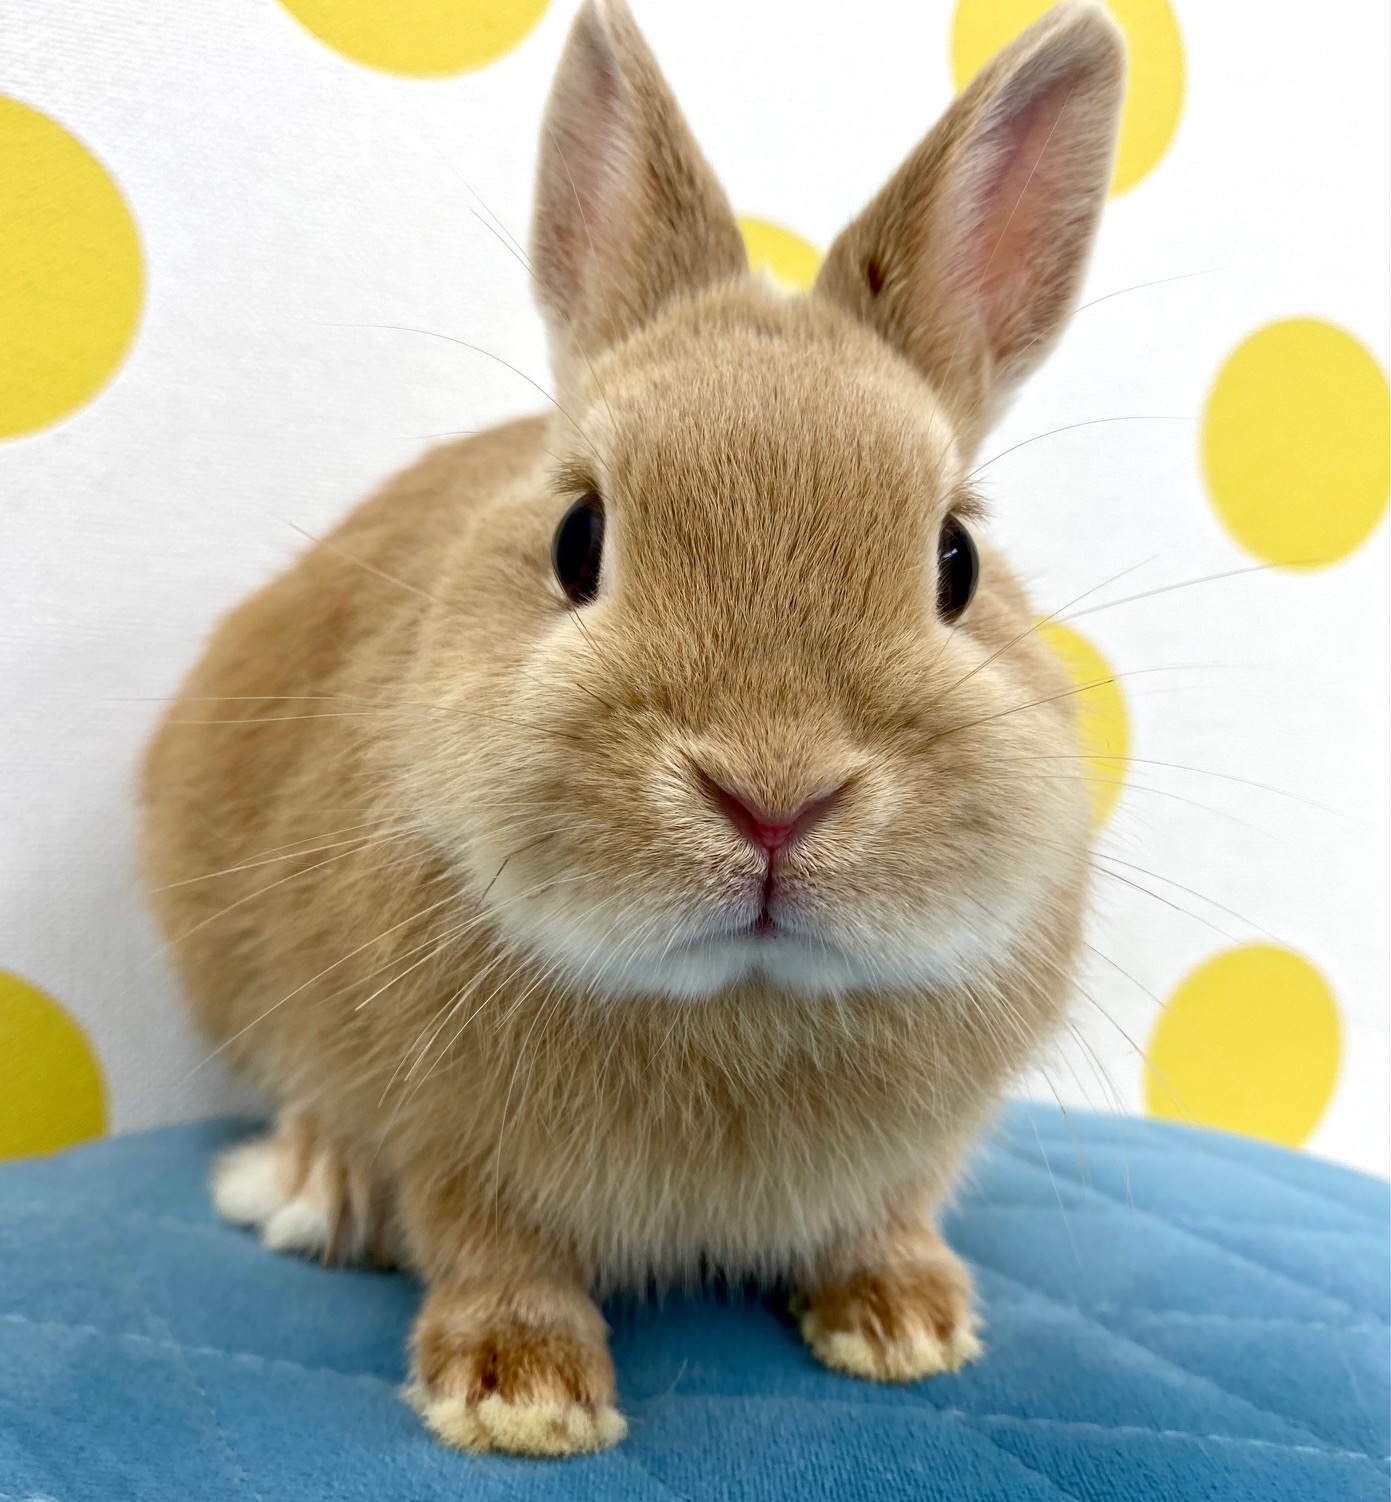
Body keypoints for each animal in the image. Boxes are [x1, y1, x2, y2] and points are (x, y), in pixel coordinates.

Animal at [140, 0, 1125, 1459]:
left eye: (953, 562)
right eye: (576, 538)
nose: (773, 795)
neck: (737, 999)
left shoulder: (913, 1152)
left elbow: (889, 1215)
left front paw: (906, 1324)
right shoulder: (455, 1137)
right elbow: (490, 1243)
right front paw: (518, 1393)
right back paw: (315, 1185)